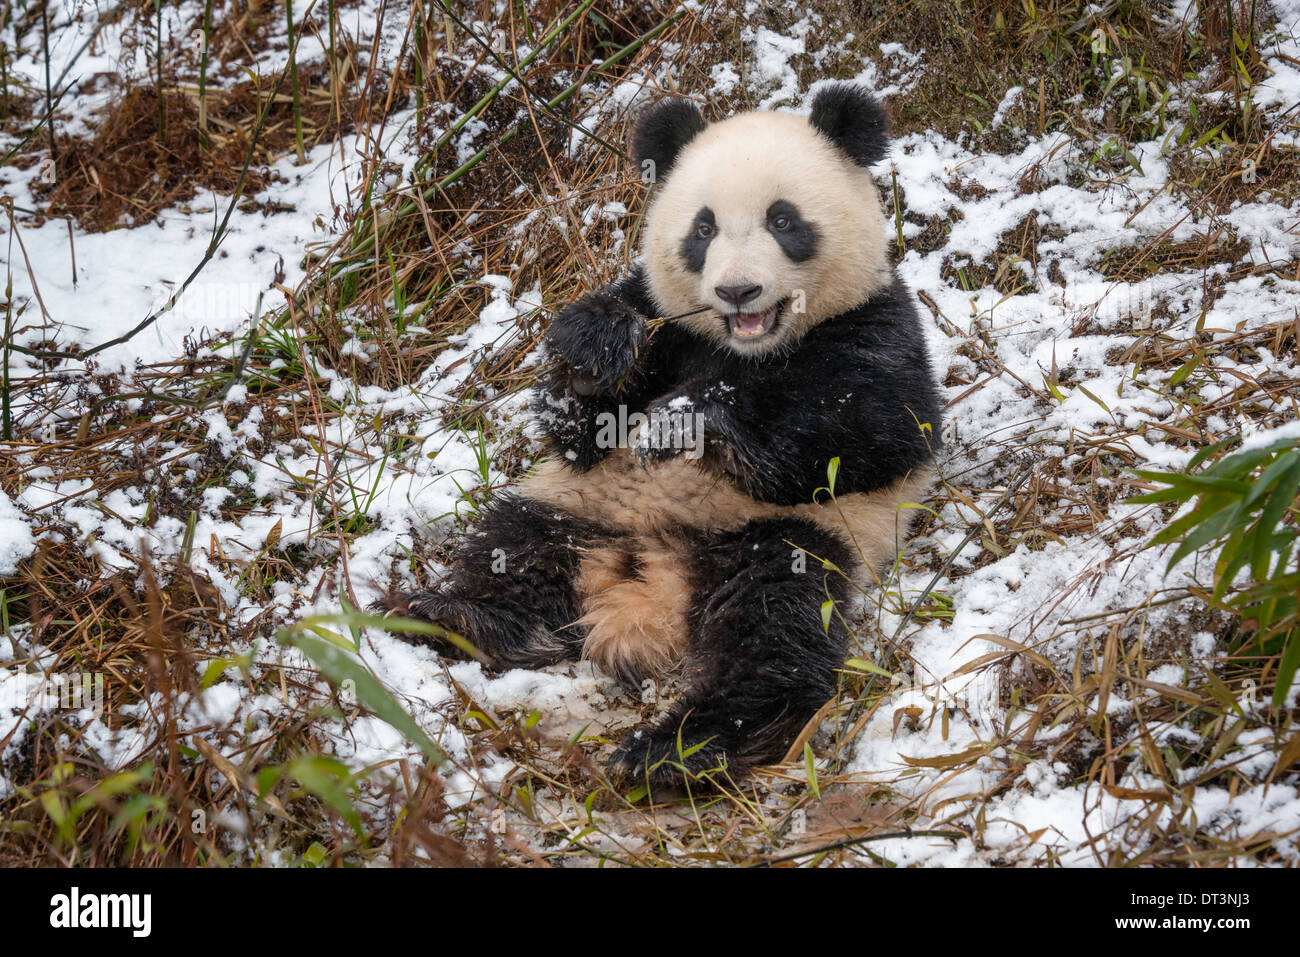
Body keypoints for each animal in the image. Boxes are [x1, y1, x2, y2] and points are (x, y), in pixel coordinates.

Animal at [384, 83, 943, 789]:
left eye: (783, 221)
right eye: (702, 229)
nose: (738, 290)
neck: (745, 349)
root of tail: (646, 586)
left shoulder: (878, 325)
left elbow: (874, 429)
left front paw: (688, 421)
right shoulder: (666, 324)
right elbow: (576, 431)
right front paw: (596, 350)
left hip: (786, 536)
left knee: (773, 621)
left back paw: (682, 746)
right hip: (577, 506)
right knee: (515, 545)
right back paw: (451, 618)